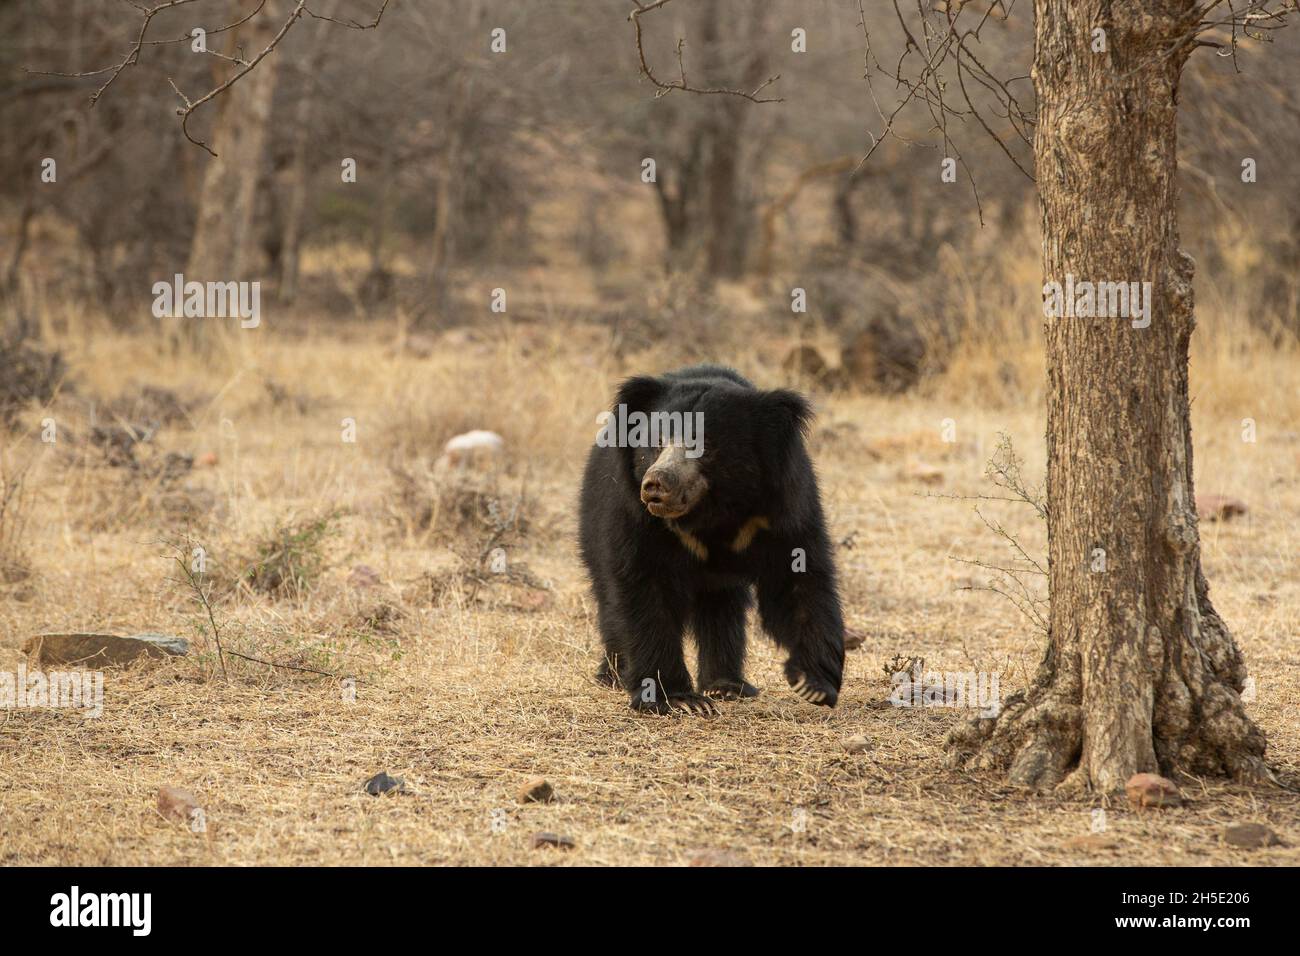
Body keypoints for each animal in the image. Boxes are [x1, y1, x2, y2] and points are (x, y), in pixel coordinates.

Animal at [578, 364, 846, 715]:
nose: (656, 484)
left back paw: (726, 685)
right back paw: (613, 674)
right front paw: (678, 698)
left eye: (701, 444)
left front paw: (813, 683)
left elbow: (798, 581)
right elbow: (645, 592)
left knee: (723, 608)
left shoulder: (783, 507)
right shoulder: (635, 517)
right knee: (610, 600)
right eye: (656, 442)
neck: (712, 512)